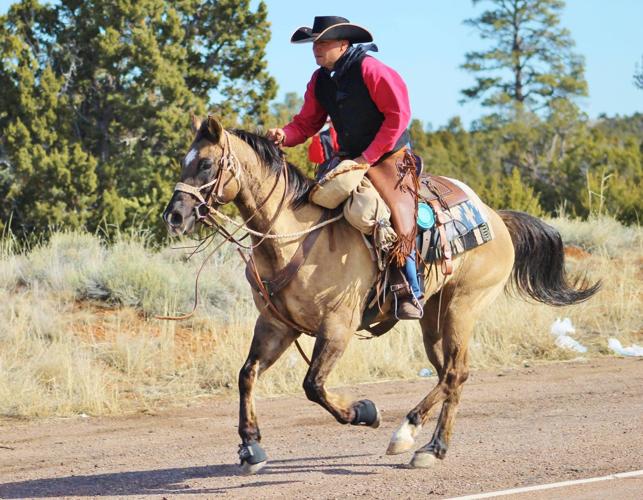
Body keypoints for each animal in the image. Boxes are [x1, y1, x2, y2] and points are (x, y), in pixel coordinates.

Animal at [162, 115, 599, 474]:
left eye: (205, 164)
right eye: (184, 161)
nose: (174, 216)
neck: (295, 238)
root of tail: (497, 218)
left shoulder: (337, 327)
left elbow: (313, 385)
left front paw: (364, 412)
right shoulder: (276, 325)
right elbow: (247, 375)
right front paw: (250, 446)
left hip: (462, 307)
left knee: (455, 372)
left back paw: (412, 436)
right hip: (432, 318)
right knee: (450, 374)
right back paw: (429, 444)